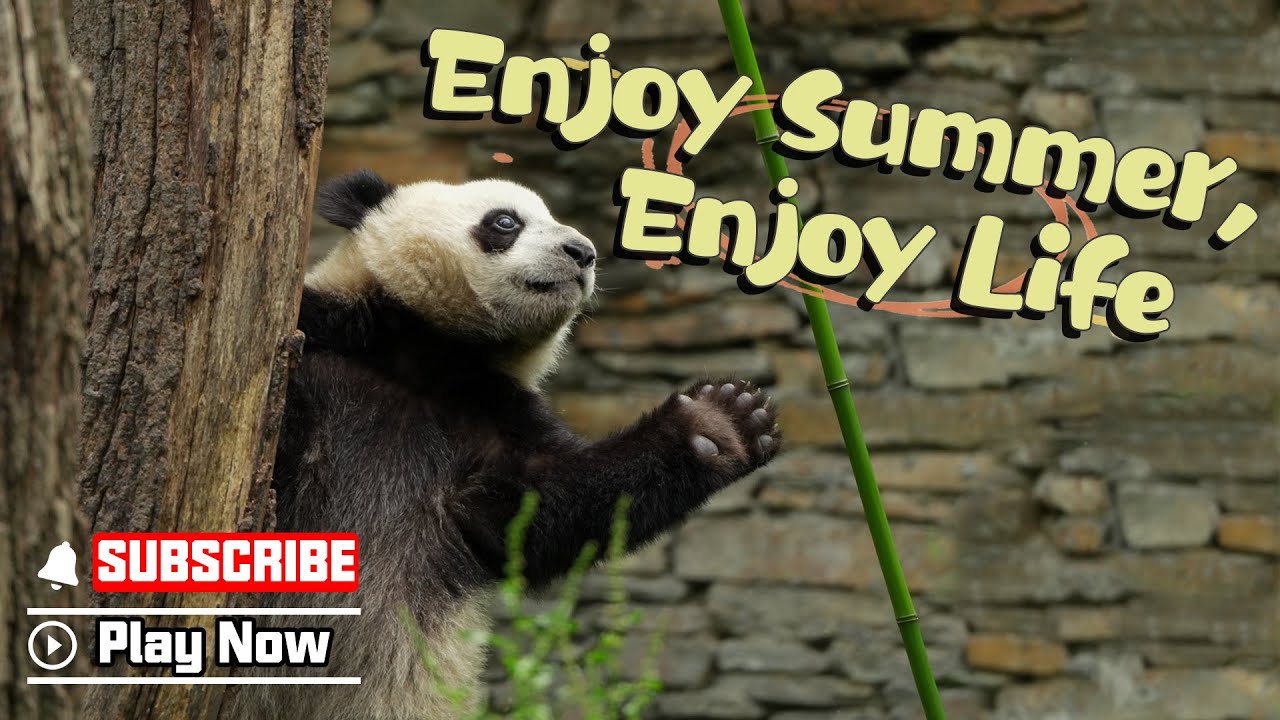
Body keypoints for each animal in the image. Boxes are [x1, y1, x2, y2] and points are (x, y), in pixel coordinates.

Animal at [236, 169, 782, 719]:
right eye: (505, 221)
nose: (582, 251)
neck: (426, 356)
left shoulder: (490, 419)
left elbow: (543, 510)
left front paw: (721, 421)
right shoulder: (331, 341)